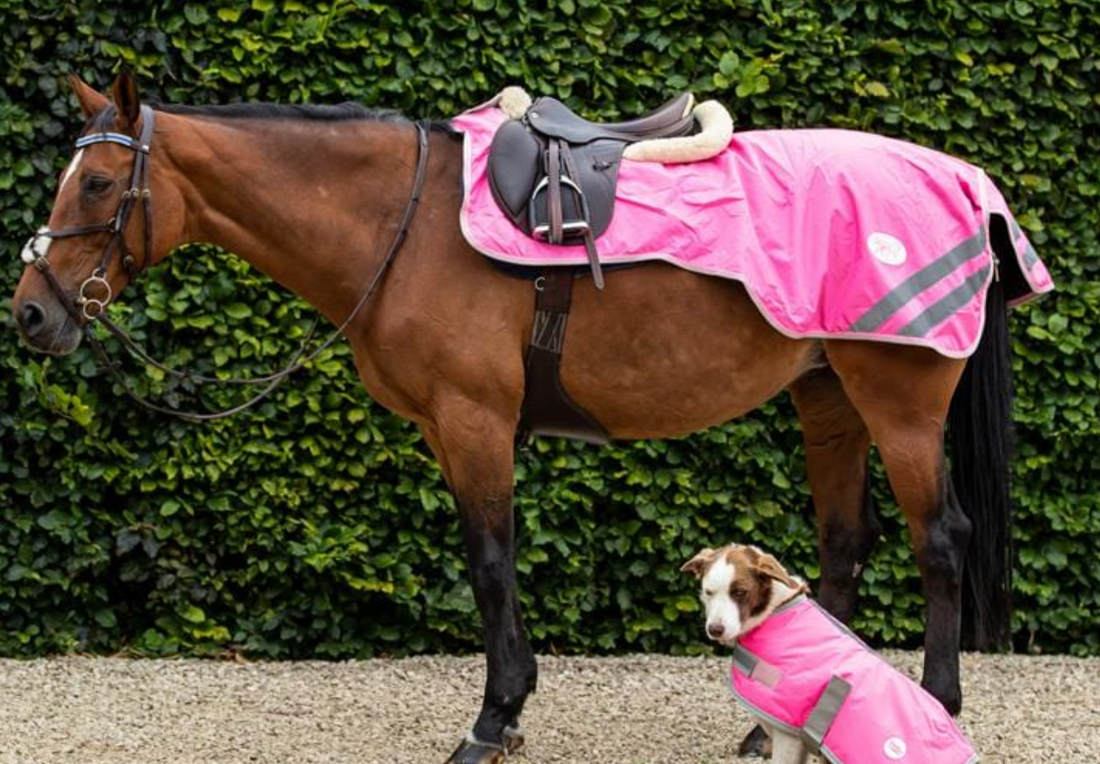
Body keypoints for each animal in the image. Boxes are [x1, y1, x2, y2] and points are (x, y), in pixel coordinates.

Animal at [13, 72, 1022, 764]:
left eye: (96, 183)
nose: (30, 312)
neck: (405, 223)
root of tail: (970, 184)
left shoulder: (474, 422)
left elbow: (492, 566)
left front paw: (495, 720)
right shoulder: (448, 429)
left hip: (899, 401)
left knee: (940, 540)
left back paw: (937, 705)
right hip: (829, 399)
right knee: (842, 547)